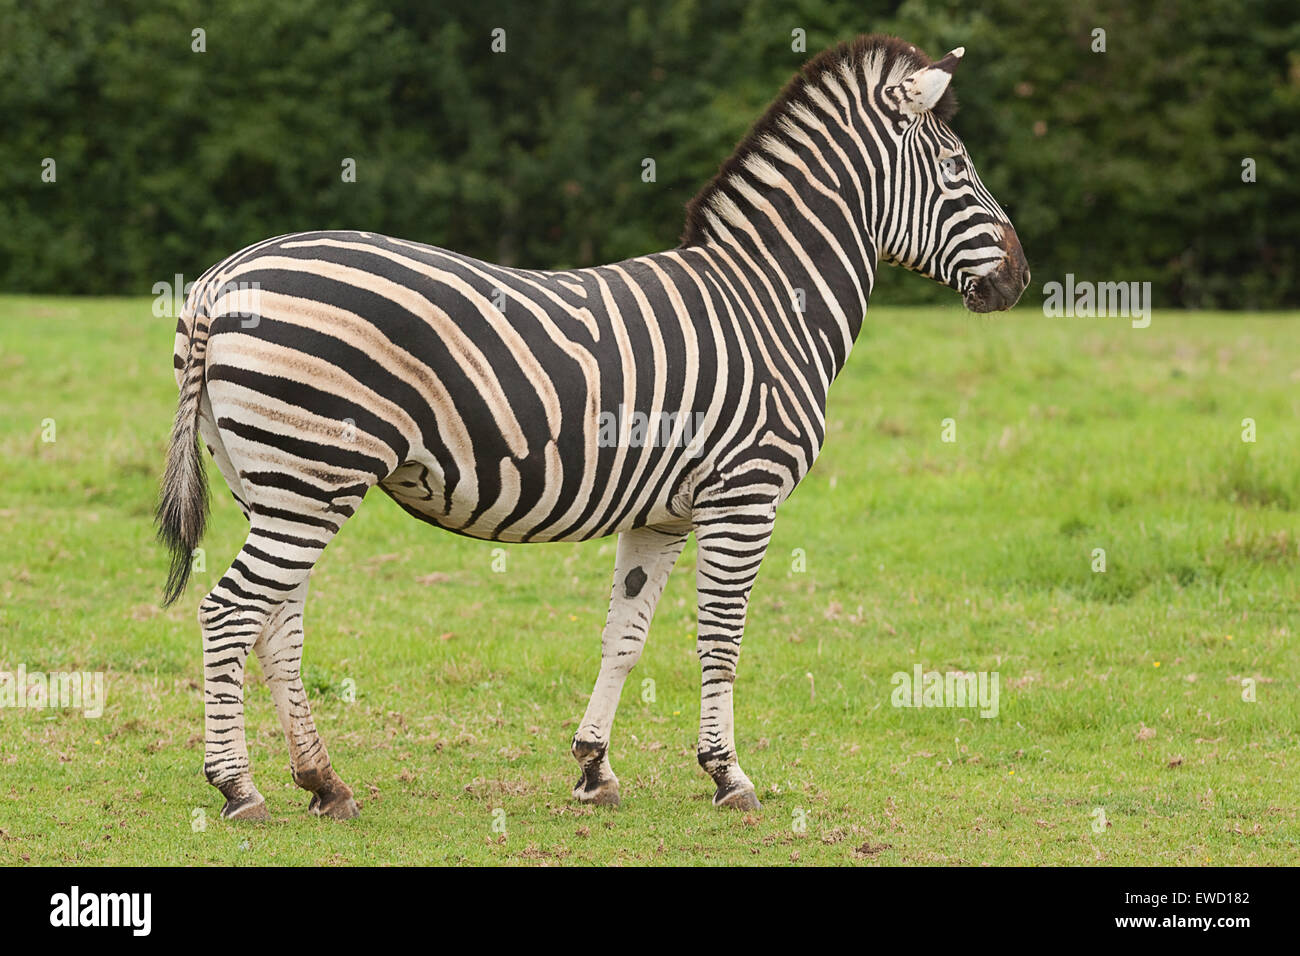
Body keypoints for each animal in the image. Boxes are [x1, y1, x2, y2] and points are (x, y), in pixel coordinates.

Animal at [158, 34, 1029, 820]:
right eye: (959, 169)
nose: (1020, 278)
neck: (771, 302)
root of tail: (220, 280)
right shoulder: (746, 495)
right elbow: (721, 637)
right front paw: (728, 776)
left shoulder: (662, 513)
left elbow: (625, 635)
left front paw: (594, 769)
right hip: (311, 478)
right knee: (230, 612)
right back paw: (239, 789)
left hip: (275, 482)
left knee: (276, 625)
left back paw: (323, 782)